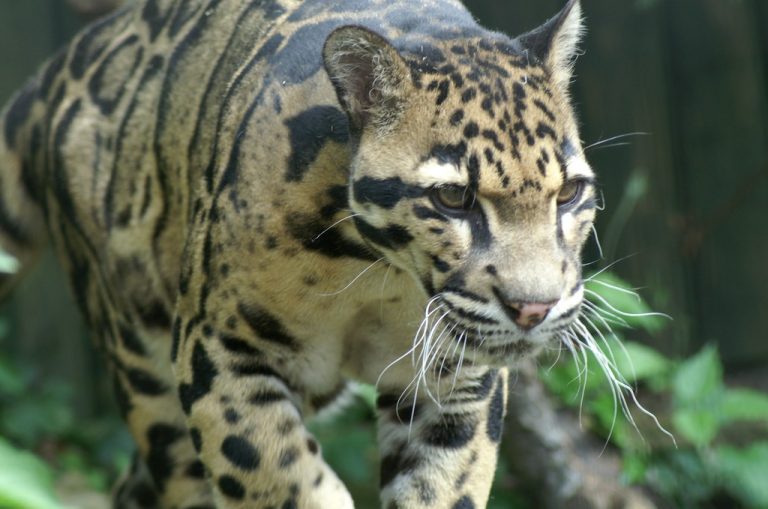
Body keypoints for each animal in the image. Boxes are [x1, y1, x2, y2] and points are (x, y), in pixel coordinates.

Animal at [0, 0, 598, 507]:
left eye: (569, 193)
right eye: (452, 198)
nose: (534, 308)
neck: (375, 272)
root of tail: (59, 66)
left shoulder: (456, 379)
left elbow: (444, 484)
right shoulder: (217, 348)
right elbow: (275, 472)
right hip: (141, 362)